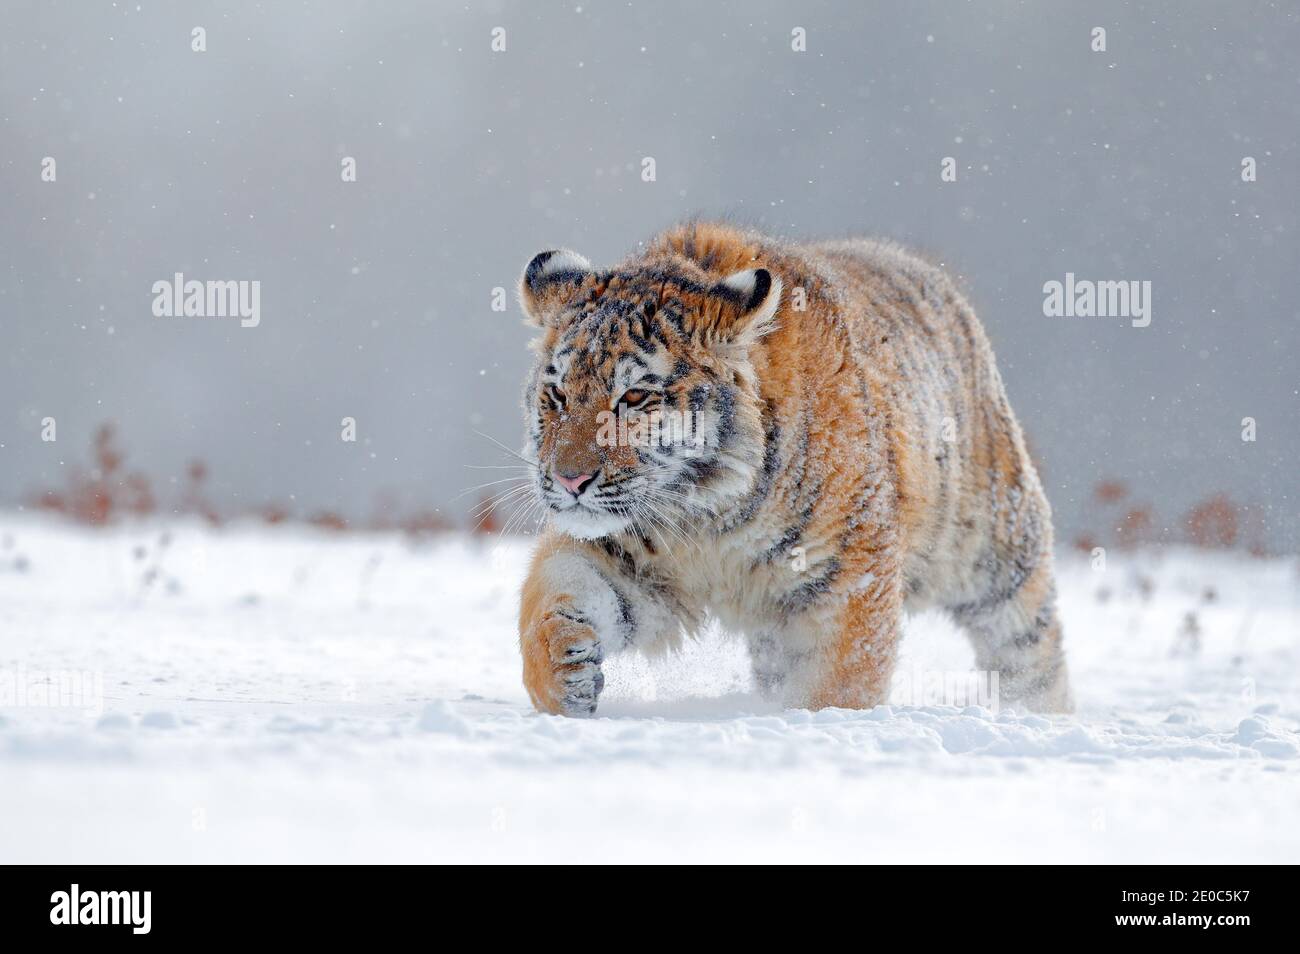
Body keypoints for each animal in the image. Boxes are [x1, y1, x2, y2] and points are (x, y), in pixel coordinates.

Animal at [514, 221, 1071, 717]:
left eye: (634, 397)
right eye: (557, 394)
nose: (568, 480)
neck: (706, 513)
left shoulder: (848, 579)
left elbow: (838, 687)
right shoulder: (622, 553)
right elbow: (554, 595)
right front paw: (564, 677)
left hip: (997, 556)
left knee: (1030, 650)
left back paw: (1038, 714)